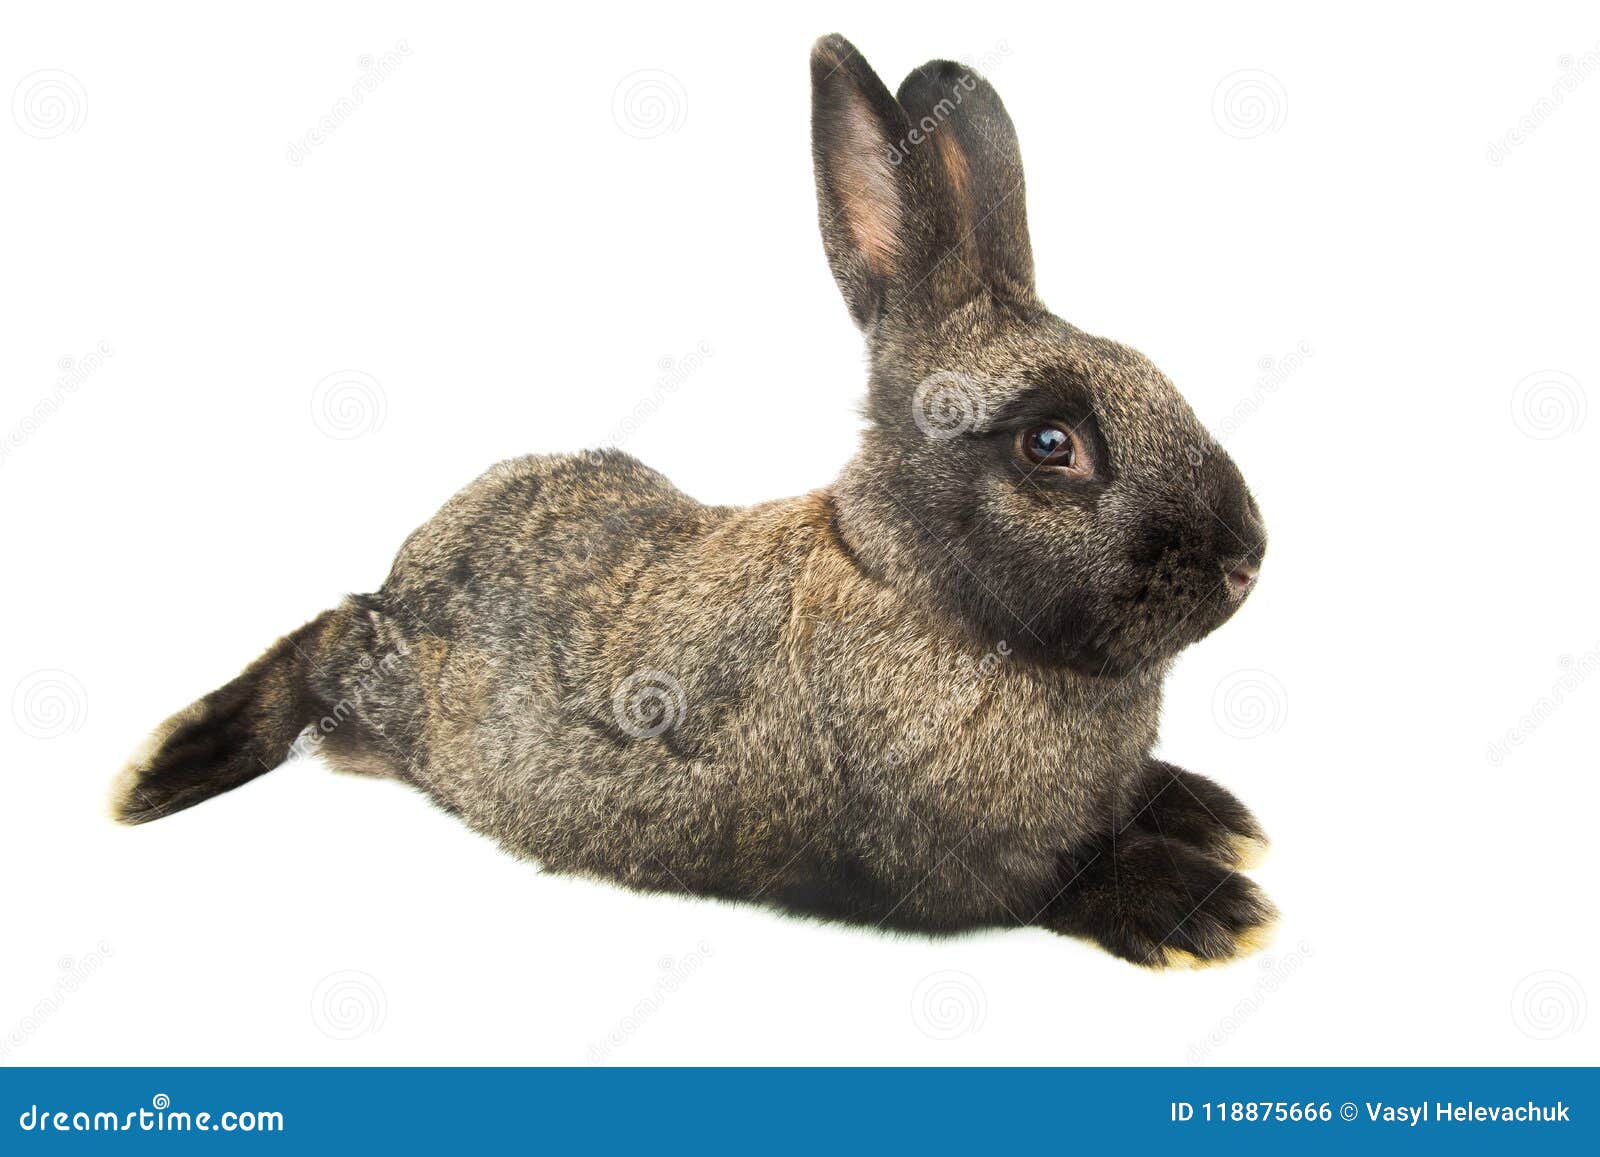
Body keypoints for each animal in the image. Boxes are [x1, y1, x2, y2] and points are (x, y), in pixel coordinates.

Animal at [111, 34, 1275, 969]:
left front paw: (1217, 815)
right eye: (1050, 444)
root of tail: (408, 567)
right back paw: (170, 765)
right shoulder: (949, 862)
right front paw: (1212, 907)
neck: (921, 592)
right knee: (318, 645)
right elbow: (1056, 877)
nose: (1246, 556)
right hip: (388, 682)